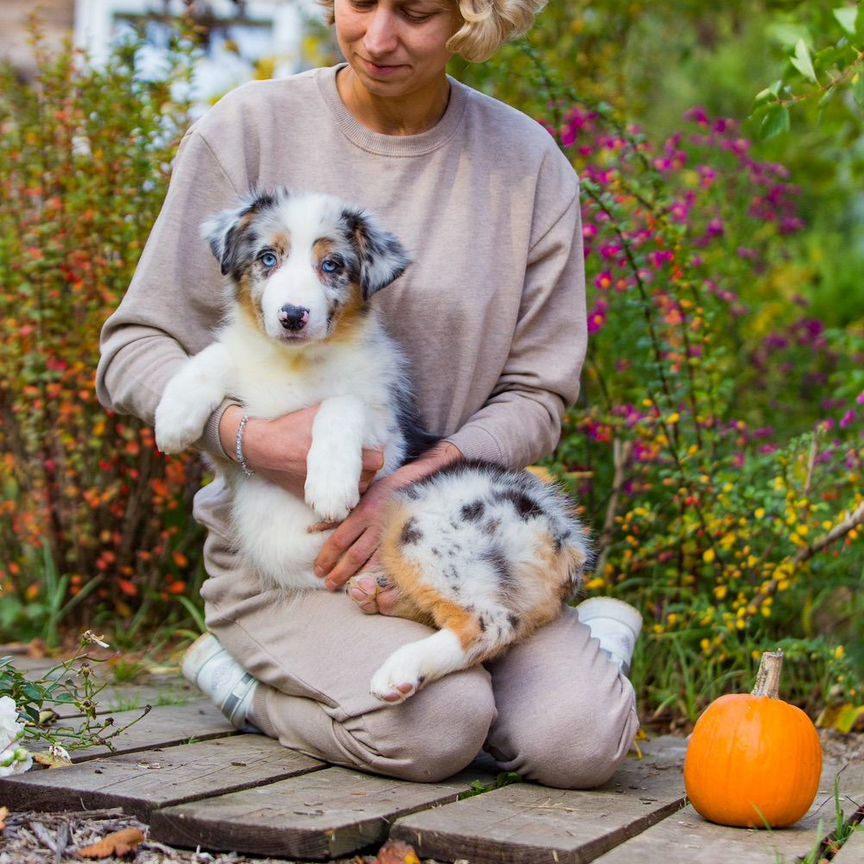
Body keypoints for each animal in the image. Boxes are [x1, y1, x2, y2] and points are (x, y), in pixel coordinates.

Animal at [155, 187, 592, 704]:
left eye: (331, 265)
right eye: (268, 258)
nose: (293, 316)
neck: (295, 363)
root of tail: (566, 537)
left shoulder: (386, 438)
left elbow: (342, 403)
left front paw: (329, 486)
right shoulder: (231, 456)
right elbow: (215, 358)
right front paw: (172, 417)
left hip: (424, 523)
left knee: (493, 621)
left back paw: (402, 669)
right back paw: (380, 597)